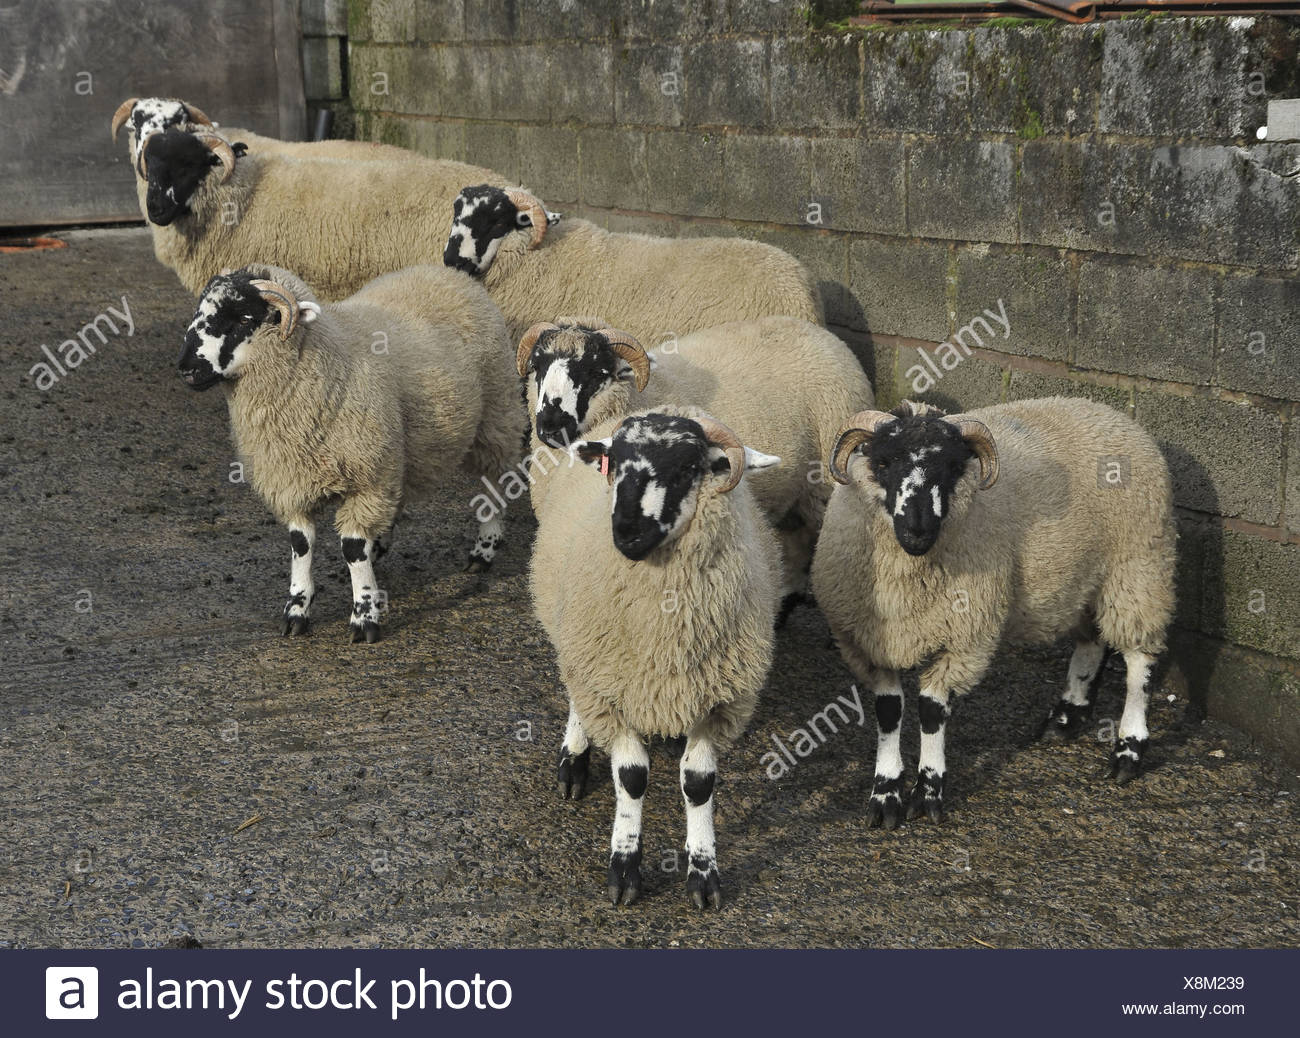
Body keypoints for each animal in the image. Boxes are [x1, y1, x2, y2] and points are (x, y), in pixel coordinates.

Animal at [176, 262, 522, 643]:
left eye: (242, 318)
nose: (187, 368)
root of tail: (451, 271)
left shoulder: (366, 480)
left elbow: (352, 549)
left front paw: (365, 617)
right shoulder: (292, 481)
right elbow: (301, 545)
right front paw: (297, 610)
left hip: (496, 413)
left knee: (495, 478)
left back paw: (484, 549)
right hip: (399, 451)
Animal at [514, 316, 875, 615]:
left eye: (595, 372)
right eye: (538, 366)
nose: (551, 425)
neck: (644, 396)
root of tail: (825, 334)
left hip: (822, 484)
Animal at [531, 405, 781, 909]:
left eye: (686, 469)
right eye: (614, 463)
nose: (626, 532)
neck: (665, 637)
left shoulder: (720, 700)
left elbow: (698, 783)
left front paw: (703, 872)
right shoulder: (612, 682)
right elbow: (631, 778)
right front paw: (624, 867)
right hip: (578, 643)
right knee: (576, 694)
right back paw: (574, 758)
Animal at [809, 397, 1176, 828]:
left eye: (954, 467)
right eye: (882, 463)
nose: (918, 530)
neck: (907, 580)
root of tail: (1111, 411)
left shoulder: (964, 637)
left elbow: (931, 711)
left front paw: (928, 793)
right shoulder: (869, 642)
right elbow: (888, 711)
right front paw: (885, 794)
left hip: (1138, 569)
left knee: (1139, 662)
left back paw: (1128, 751)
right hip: (1084, 579)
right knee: (1091, 642)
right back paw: (1066, 718)